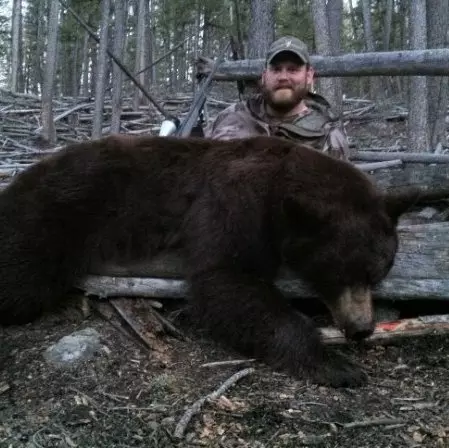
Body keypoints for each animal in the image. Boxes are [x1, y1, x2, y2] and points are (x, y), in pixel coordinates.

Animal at [0, 135, 424, 386]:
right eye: (335, 274)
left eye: (378, 271)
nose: (361, 328)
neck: (281, 177)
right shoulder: (235, 199)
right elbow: (226, 278)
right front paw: (336, 366)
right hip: (55, 214)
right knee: (23, 280)